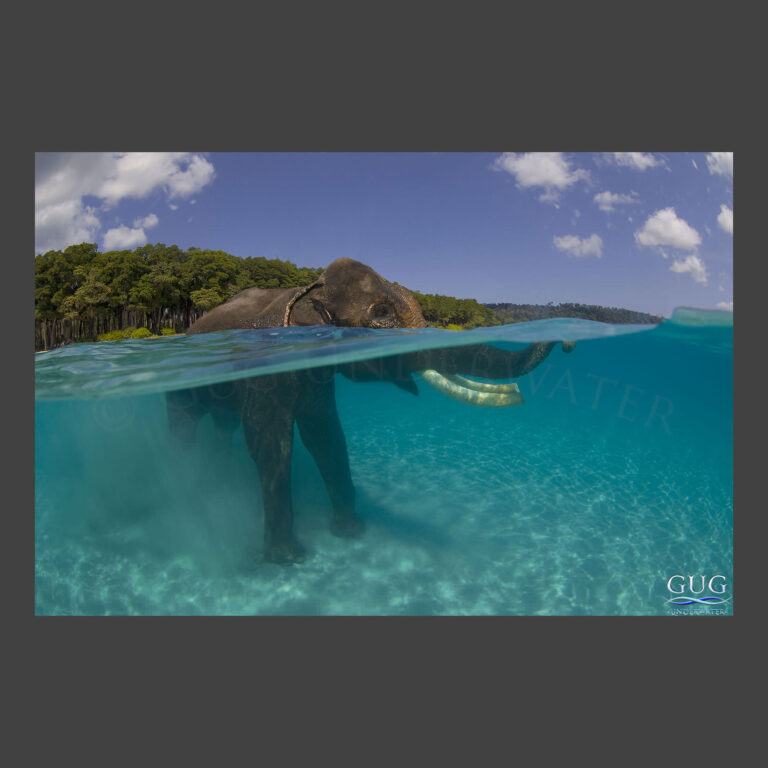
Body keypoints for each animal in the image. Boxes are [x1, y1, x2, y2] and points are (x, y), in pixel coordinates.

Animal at [166, 258, 572, 564]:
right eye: (381, 314)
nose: (568, 337)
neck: (308, 289)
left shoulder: (317, 379)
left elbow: (325, 435)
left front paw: (350, 533)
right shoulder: (267, 369)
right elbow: (272, 443)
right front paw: (287, 560)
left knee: (224, 424)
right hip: (182, 389)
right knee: (184, 427)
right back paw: (190, 481)